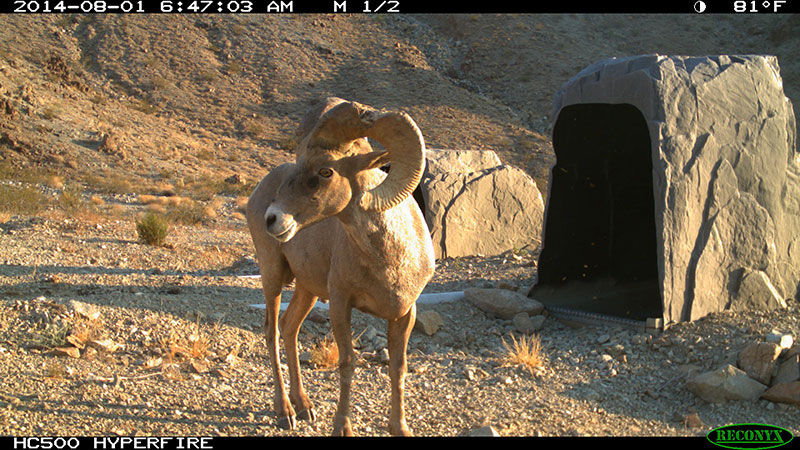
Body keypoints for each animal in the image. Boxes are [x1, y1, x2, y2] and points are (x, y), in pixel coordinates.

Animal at [246, 97, 436, 436]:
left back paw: (305, 406)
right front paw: (342, 427)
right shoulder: (340, 303)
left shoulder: (405, 313)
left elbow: (398, 368)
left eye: (326, 171)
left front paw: (399, 427)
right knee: (271, 332)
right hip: (272, 275)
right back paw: (286, 411)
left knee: (289, 328)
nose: (273, 218)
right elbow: (347, 364)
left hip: (307, 290)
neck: (389, 261)